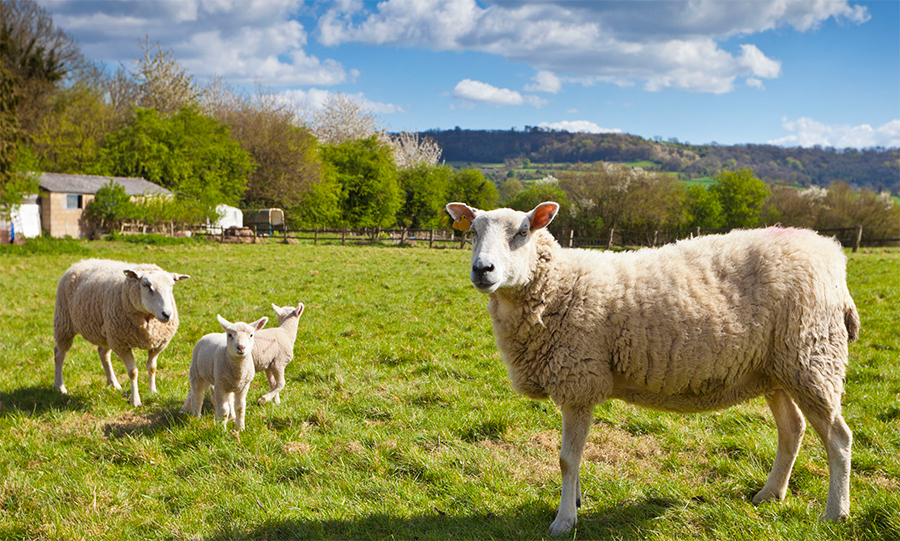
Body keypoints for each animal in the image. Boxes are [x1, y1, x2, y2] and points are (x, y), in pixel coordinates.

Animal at [53, 258, 190, 407]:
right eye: (146, 285)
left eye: (171, 286)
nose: (167, 314)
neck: (148, 318)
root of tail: (81, 262)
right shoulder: (122, 344)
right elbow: (133, 372)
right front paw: (135, 400)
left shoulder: (158, 344)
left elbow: (152, 367)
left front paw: (152, 391)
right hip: (64, 323)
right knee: (59, 353)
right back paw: (59, 386)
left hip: (107, 332)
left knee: (103, 353)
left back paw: (113, 384)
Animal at [446, 201, 860, 536]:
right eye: (472, 232)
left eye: (522, 232)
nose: (483, 269)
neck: (559, 287)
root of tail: (830, 253)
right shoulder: (578, 386)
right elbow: (573, 458)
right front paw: (574, 503)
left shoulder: (579, 380)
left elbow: (567, 459)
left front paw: (563, 522)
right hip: (776, 370)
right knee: (792, 429)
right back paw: (770, 493)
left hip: (812, 359)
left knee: (838, 438)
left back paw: (835, 513)